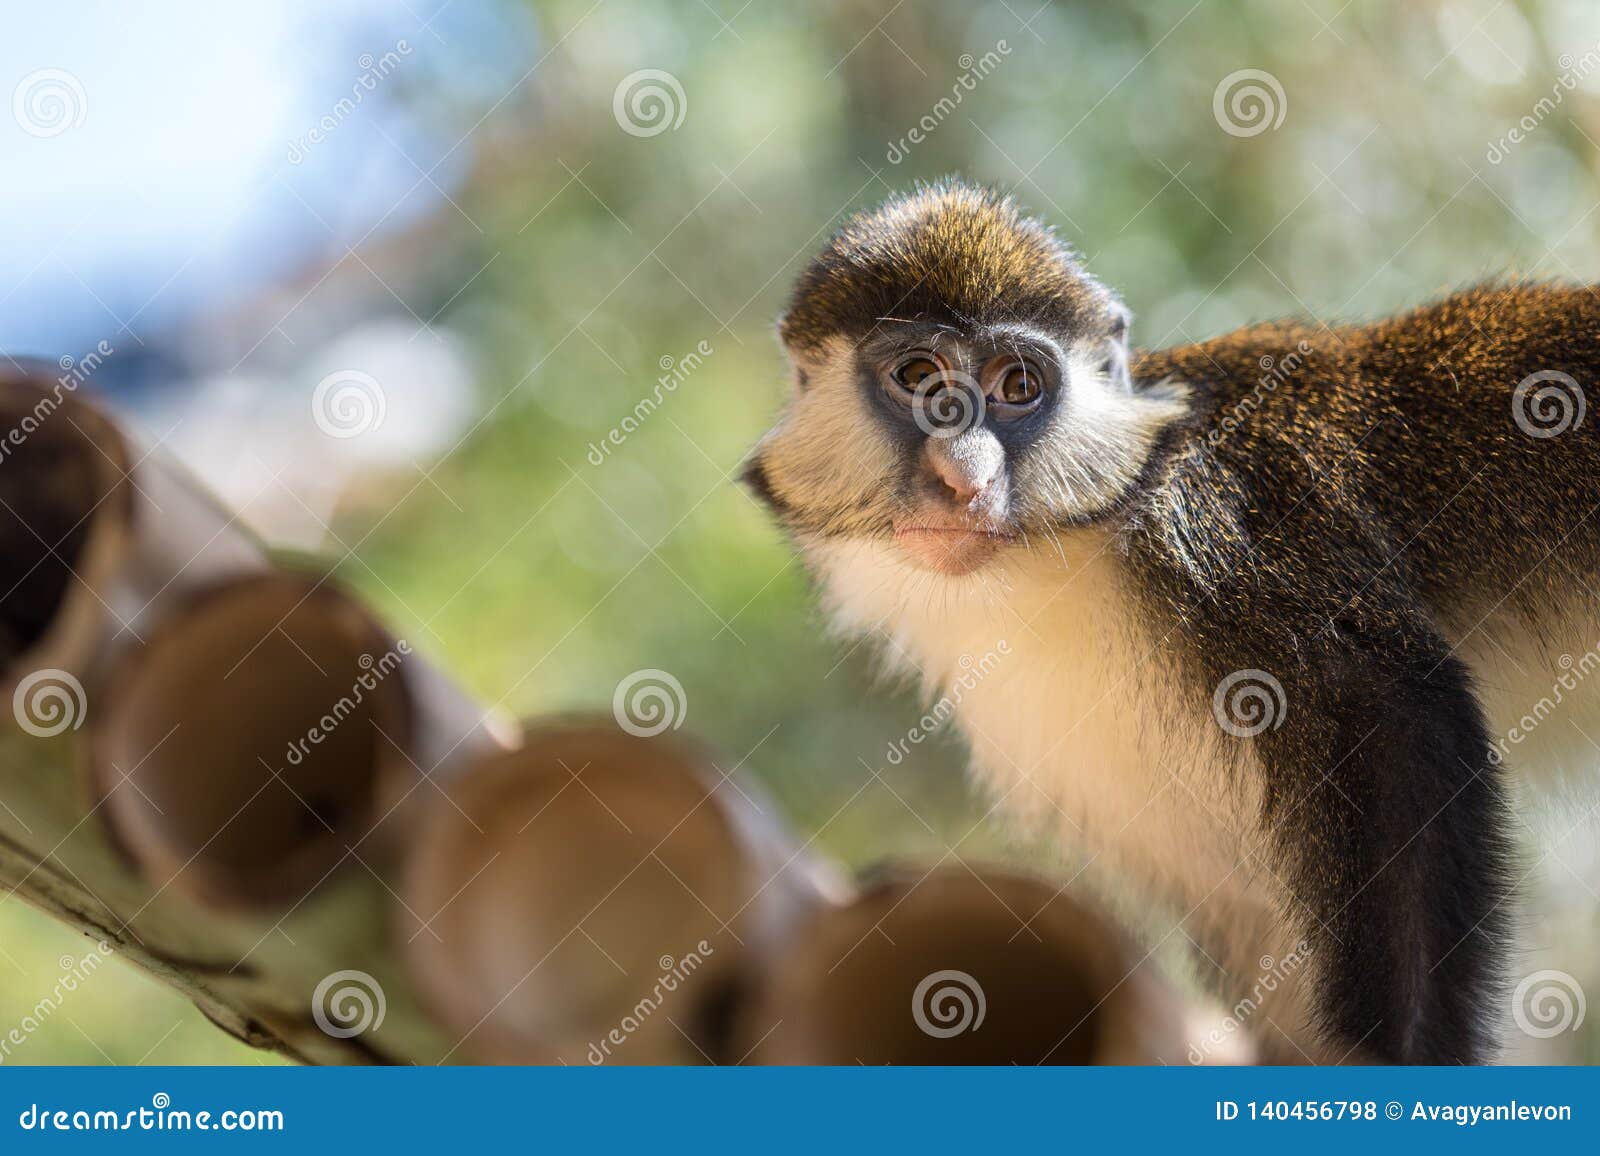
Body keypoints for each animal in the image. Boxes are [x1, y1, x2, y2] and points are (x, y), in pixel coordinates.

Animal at [740, 177, 1600, 1065]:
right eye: (918, 376)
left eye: (1018, 386)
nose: (965, 479)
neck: (1064, 553)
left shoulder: (1215, 519)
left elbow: (1394, 714)